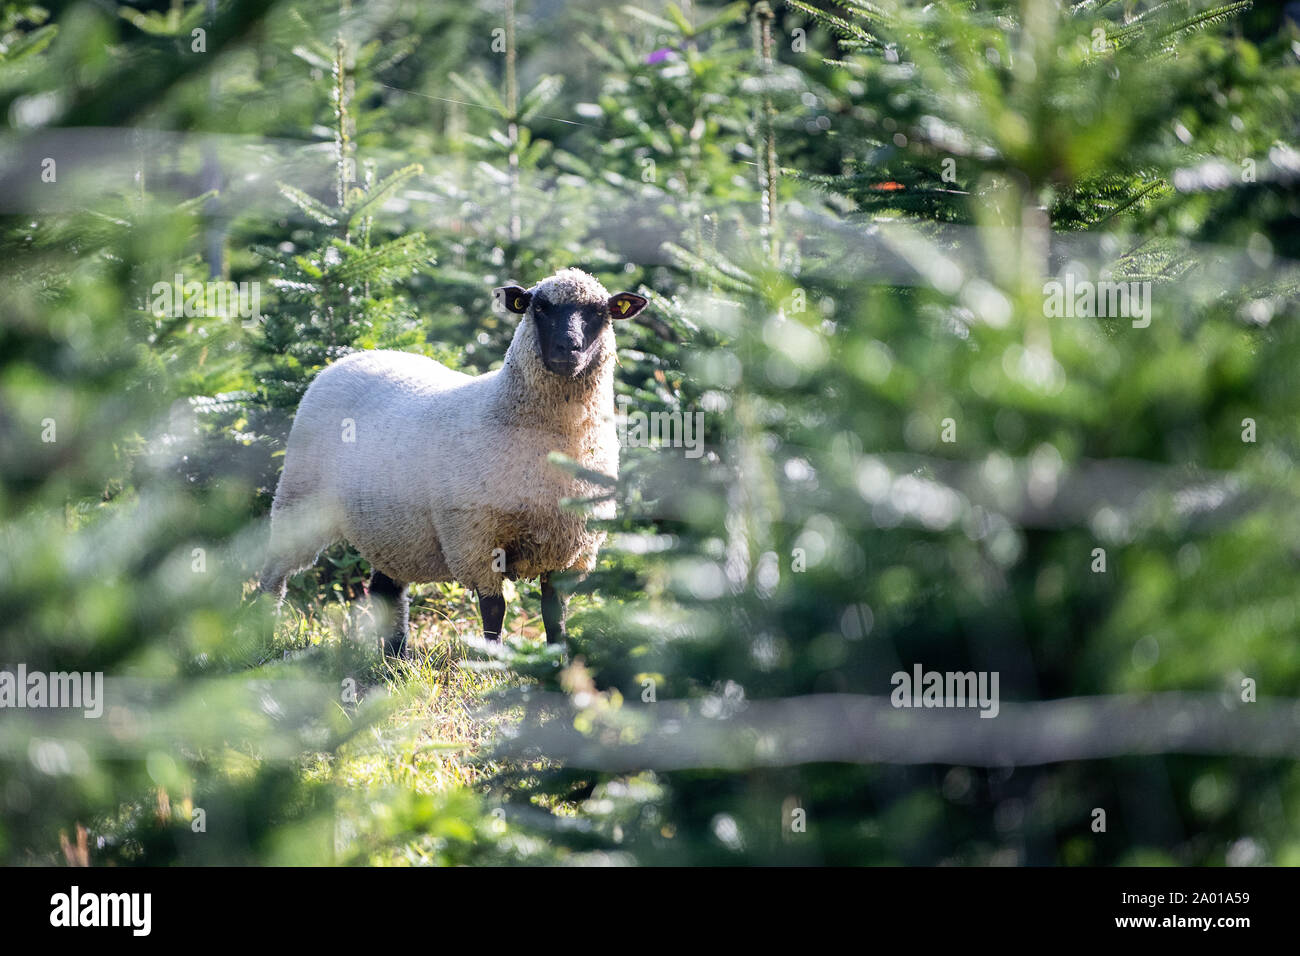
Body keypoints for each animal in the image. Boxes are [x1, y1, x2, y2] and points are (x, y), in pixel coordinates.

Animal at [259, 268, 649, 657]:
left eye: (599, 312)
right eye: (539, 307)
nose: (568, 348)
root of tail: (353, 357)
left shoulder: (572, 549)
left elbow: (555, 612)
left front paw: (559, 660)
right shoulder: (473, 538)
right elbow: (494, 609)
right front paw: (494, 660)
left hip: (391, 527)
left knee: (386, 589)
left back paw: (396, 655)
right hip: (299, 497)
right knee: (274, 573)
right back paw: (260, 630)